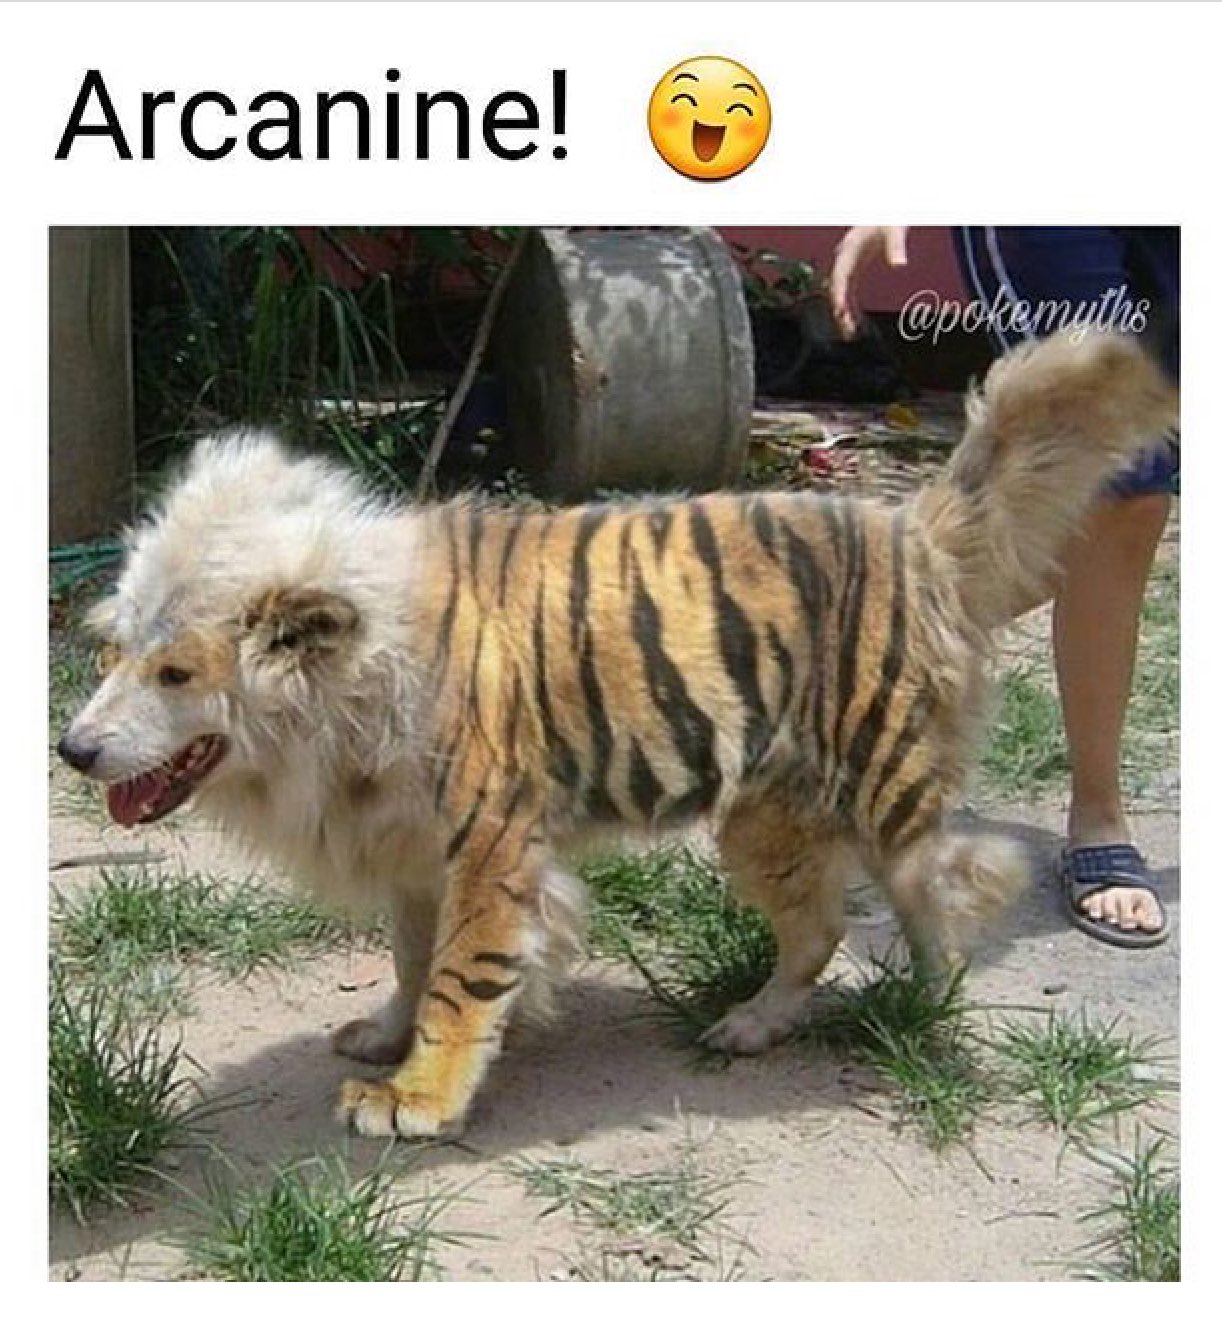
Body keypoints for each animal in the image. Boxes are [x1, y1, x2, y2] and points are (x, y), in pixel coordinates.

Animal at [58, 328, 1177, 1139]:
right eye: (112, 649)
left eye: (175, 672)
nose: (72, 750)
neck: (345, 687)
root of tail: (912, 527)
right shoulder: (415, 850)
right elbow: (412, 960)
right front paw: (387, 1037)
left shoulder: (492, 848)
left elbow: (460, 980)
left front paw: (420, 1098)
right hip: (765, 819)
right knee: (817, 926)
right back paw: (753, 1024)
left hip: (885, 788)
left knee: (951, 886)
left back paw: (924, 1004)